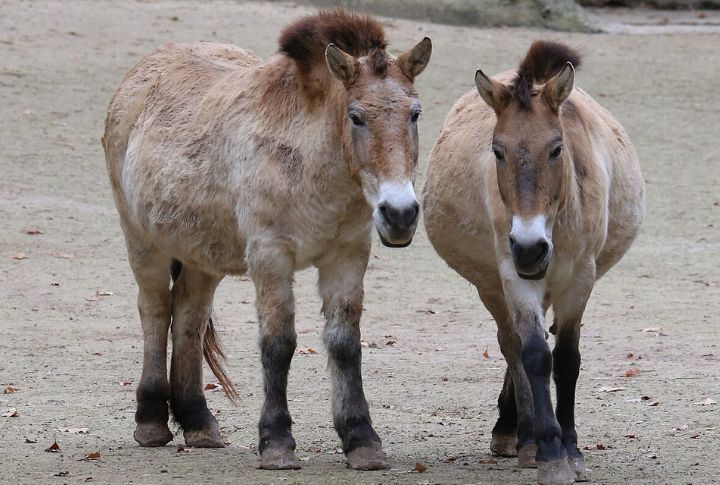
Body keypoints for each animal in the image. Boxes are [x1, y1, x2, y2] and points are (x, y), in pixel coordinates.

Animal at [102, 9, 431, 471]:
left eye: (415, 114)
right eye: (356, 116)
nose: (399, 213)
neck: (311, 159)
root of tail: (139, 76)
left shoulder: (348, 256)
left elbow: (345, 344)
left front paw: (361, 440)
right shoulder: (271, 257)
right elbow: (279, 344)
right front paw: (276, 442)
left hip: (203, 254)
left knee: (188, 315)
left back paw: (198, 421)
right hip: (143, 242)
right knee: (155, 311)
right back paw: (151, 421)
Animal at [422, 41, 644, 484]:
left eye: (557, 148)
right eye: (497, 151)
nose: (529, 247)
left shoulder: (580, 280)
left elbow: (567, 360)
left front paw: (572, 451)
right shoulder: (514, 277)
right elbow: (535, 357)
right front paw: (550, 454)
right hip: (491, 285)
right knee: (511, 346)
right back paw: (519, 434)